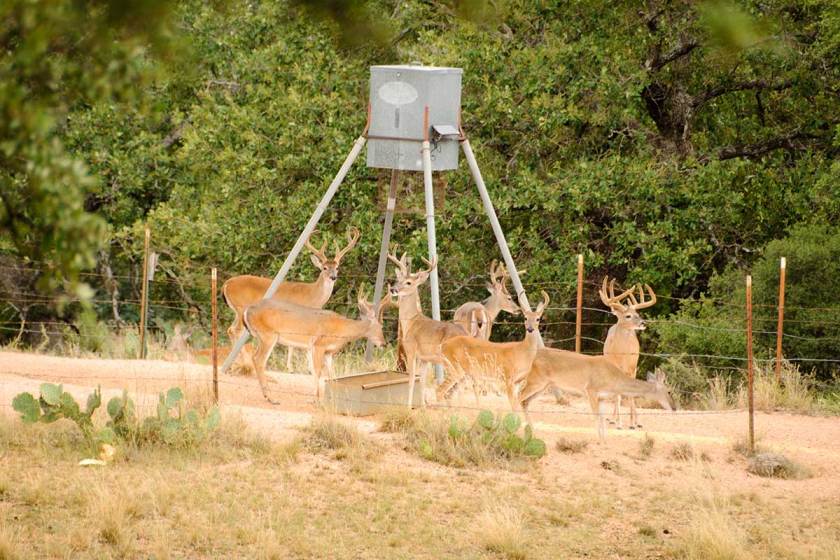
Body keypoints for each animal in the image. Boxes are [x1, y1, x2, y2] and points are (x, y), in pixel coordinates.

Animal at [222, 227, 359, 372]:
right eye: (324, 268)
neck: (313, 295)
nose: (333, 277)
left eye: (337, 267)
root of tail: (226, 284)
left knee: (230, 329)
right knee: (234, 330)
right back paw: (243, 363)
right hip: (241, 307)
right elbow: (296, 342)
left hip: (238, 311)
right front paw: (295, 367)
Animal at [243, 285, 384, 404]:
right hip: (268, 335)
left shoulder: (328, 352)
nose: (384, 343)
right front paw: (315, 399)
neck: (342, 330)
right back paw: (271, 398)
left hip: (262, 337)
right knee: (259, 359)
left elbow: (331, 374)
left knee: (255, 357)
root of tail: (248, 310)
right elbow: (317, 371)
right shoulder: (318, 345)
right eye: (380, 326)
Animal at [387, 252, 478, 407]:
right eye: (398, 279)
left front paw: (409, 407)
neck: (411, 322)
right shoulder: (425, 358)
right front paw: (423, 406)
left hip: (450, 360)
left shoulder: (411, 350)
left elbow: (411, 379)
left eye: (408, 282)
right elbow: (422, 381)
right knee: (469, 383)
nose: (393, 289)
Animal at [518, 348, 675, 441]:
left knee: (524, 401)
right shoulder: (591, 390)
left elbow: (602, 417)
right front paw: (599, 438)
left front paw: (604, 439)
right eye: (669, 391)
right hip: (536, 380)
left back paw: (532, 430)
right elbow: (596, 416)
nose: (674, 408)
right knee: (518, 395)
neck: (614, 379)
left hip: (544, 385)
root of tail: (532, 358)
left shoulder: (602, 397)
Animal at [599, 276, 657, 429]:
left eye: (637, 314)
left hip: (635, 366)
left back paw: (636, 421)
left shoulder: (632, 367)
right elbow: (617, 395)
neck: (622, 355)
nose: (643, 323)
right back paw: (613, 419)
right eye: (628, 316)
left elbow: (630, 394)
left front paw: (632, 423)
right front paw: (619, 423)